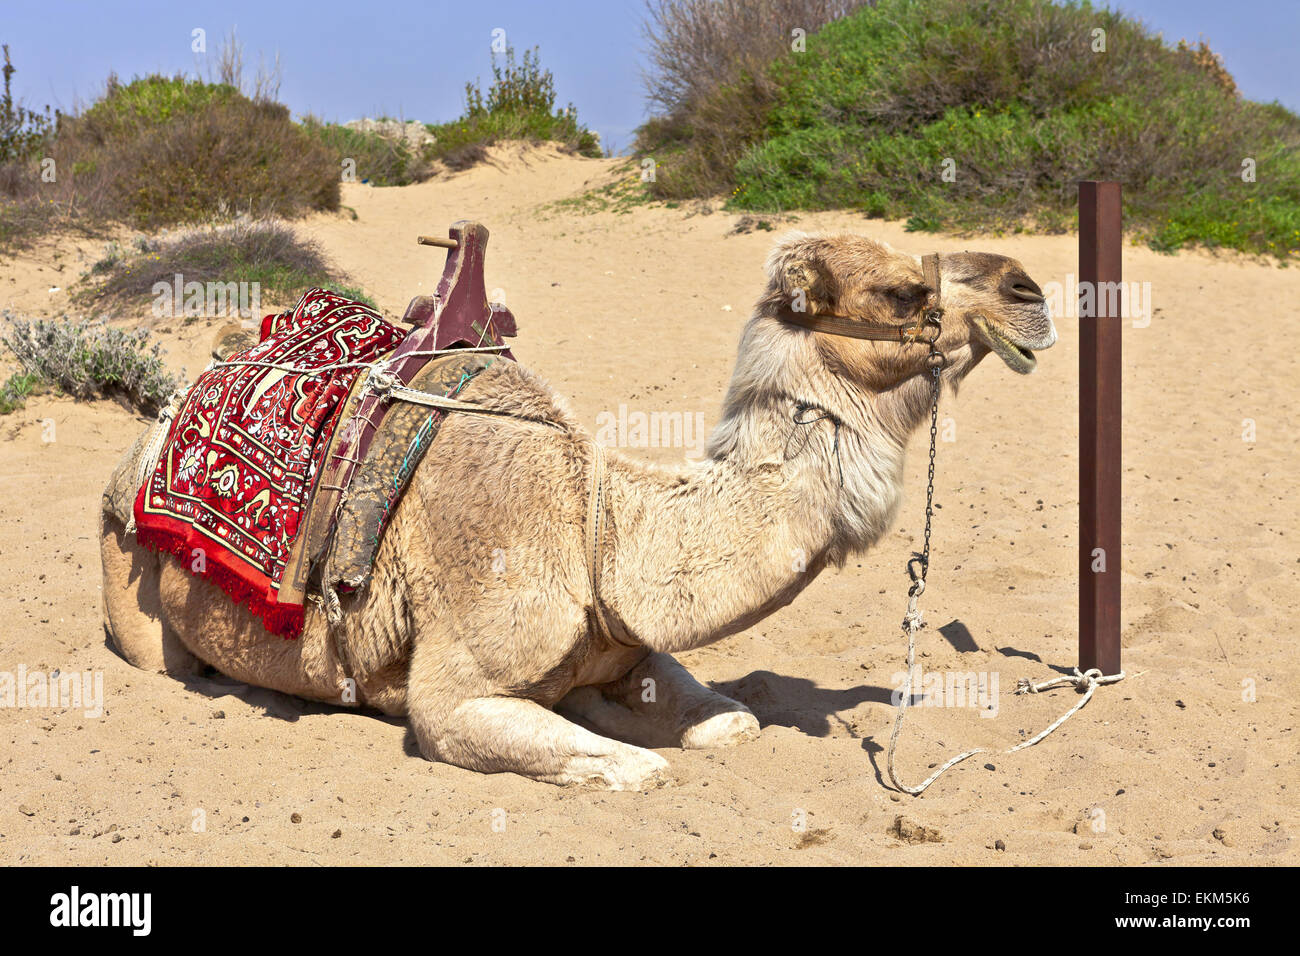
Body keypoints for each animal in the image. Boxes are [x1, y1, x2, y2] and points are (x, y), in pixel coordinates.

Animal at [100, 232, 1056, 790]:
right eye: (899, 292)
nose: (1029, 290)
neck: (598, 528)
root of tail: (153, 426)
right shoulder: (454, 695)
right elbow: (634, 769)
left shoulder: (626, 641)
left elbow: (734, 722)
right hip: (132, 576)